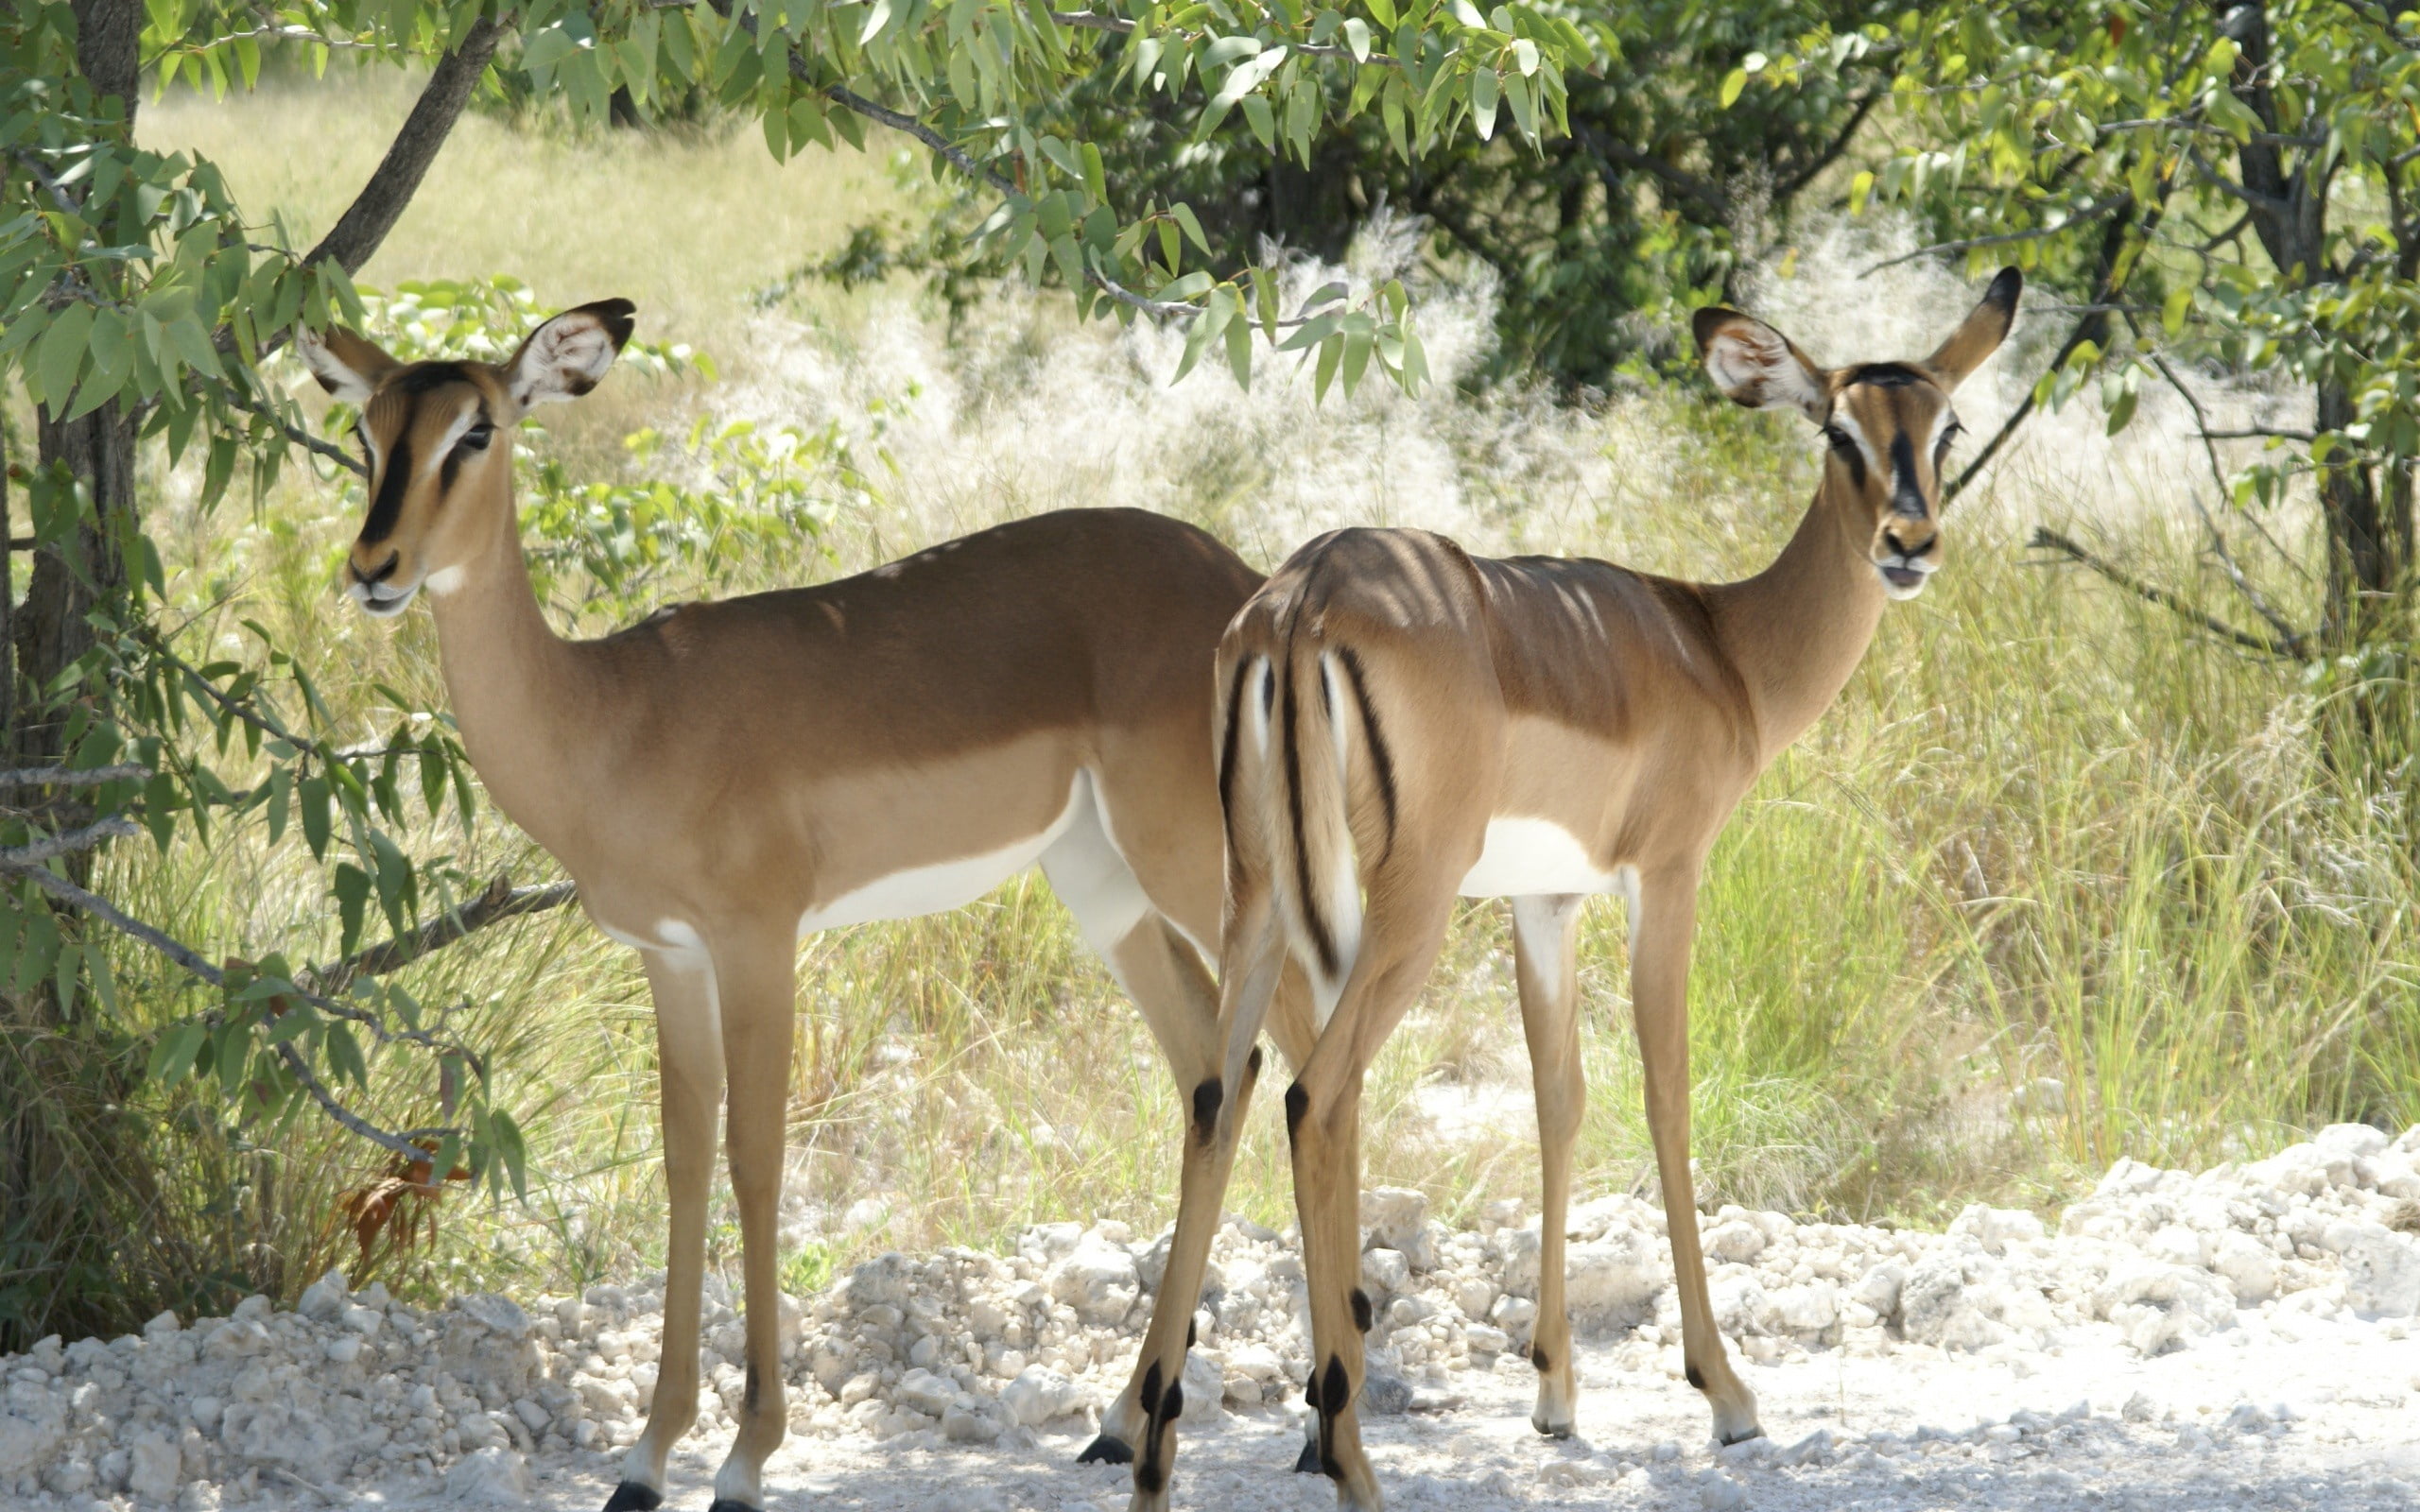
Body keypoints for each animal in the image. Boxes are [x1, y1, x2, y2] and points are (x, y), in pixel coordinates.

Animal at [297, 299, 1305, 1512]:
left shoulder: (757, 944)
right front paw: (644, 1458)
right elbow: (685, 1158)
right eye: (368, 430)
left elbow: (758, 1159)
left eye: (477, 429)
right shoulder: (669, 957)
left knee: (1315, 1049)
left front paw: (745, 1456)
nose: (373, 567)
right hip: (1103, 884)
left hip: (1206, 867)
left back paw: (1313, 1431)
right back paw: (1122, 1419)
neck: (616, 718)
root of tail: (1242, 586)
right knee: (1214, 1067)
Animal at [1115, 268, 2021, 1510]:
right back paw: (1345, 1456)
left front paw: (1553, 1393)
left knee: (1219, 1095)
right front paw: (1726, 1394)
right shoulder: (1666, 875)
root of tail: (1300, 600)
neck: (1719, 646)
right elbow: (1666, 1093)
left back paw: (1155, 1451)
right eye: (1837, 430)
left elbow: (1557, 1100)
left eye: (1945, 428)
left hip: (1251, 900)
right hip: (1401, 912)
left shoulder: (1543, 901)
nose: (1909, 541)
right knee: (1319, 1097)